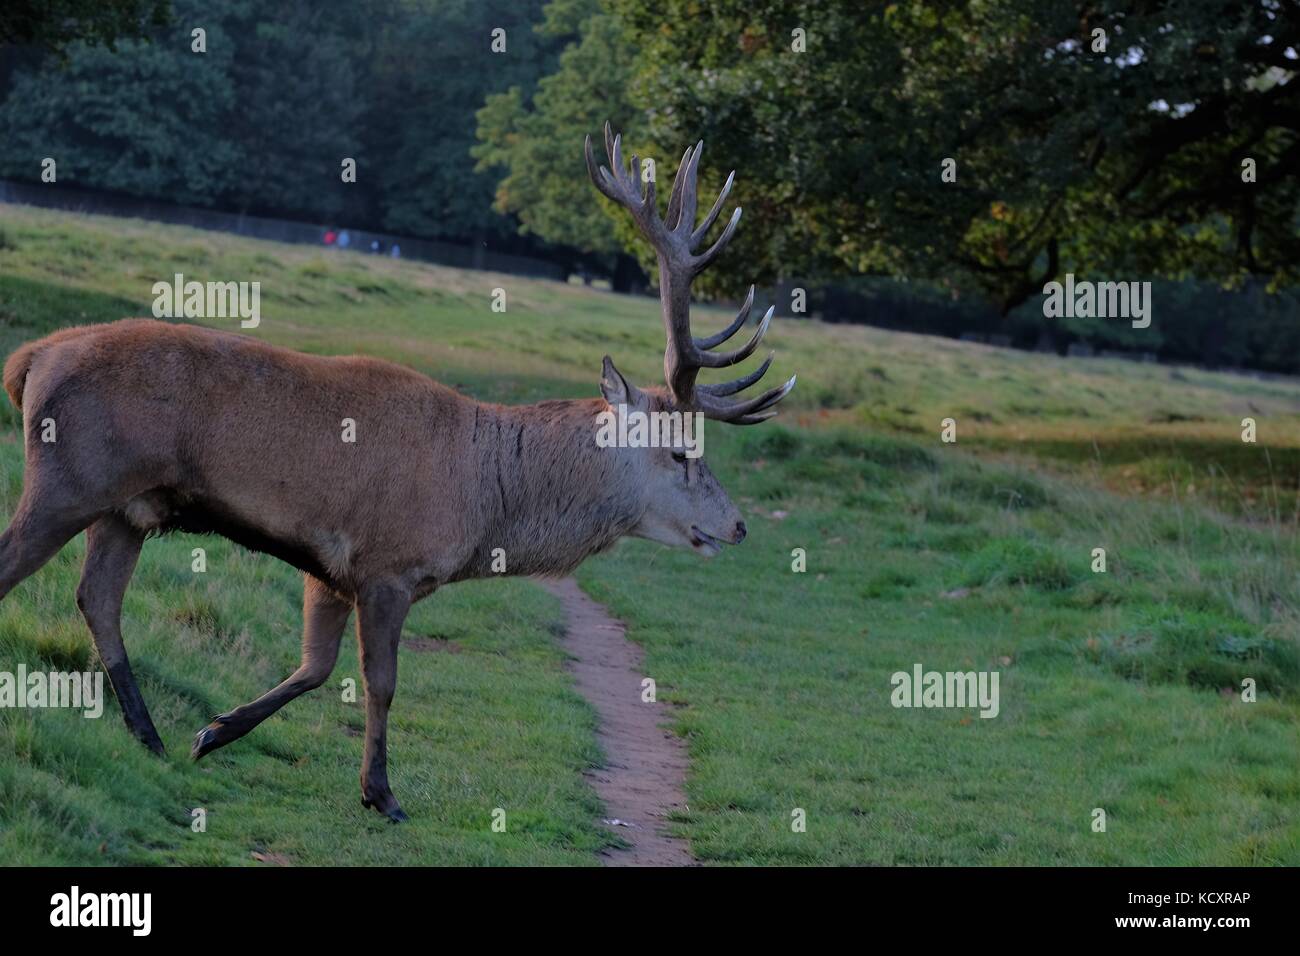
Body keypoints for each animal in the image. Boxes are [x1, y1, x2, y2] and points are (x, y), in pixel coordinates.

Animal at [0, 124, 795, 821]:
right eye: (681, 450)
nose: (738, 524)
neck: (482, 504)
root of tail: (31, 359)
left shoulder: (327, 568)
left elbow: (315, 667)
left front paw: (213, 731)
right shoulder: (387, 565)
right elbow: (379, 683)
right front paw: (381, 794)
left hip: (125, 508)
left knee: (96, 598)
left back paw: (149, 735)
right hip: (67, 480)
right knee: (22, 568)